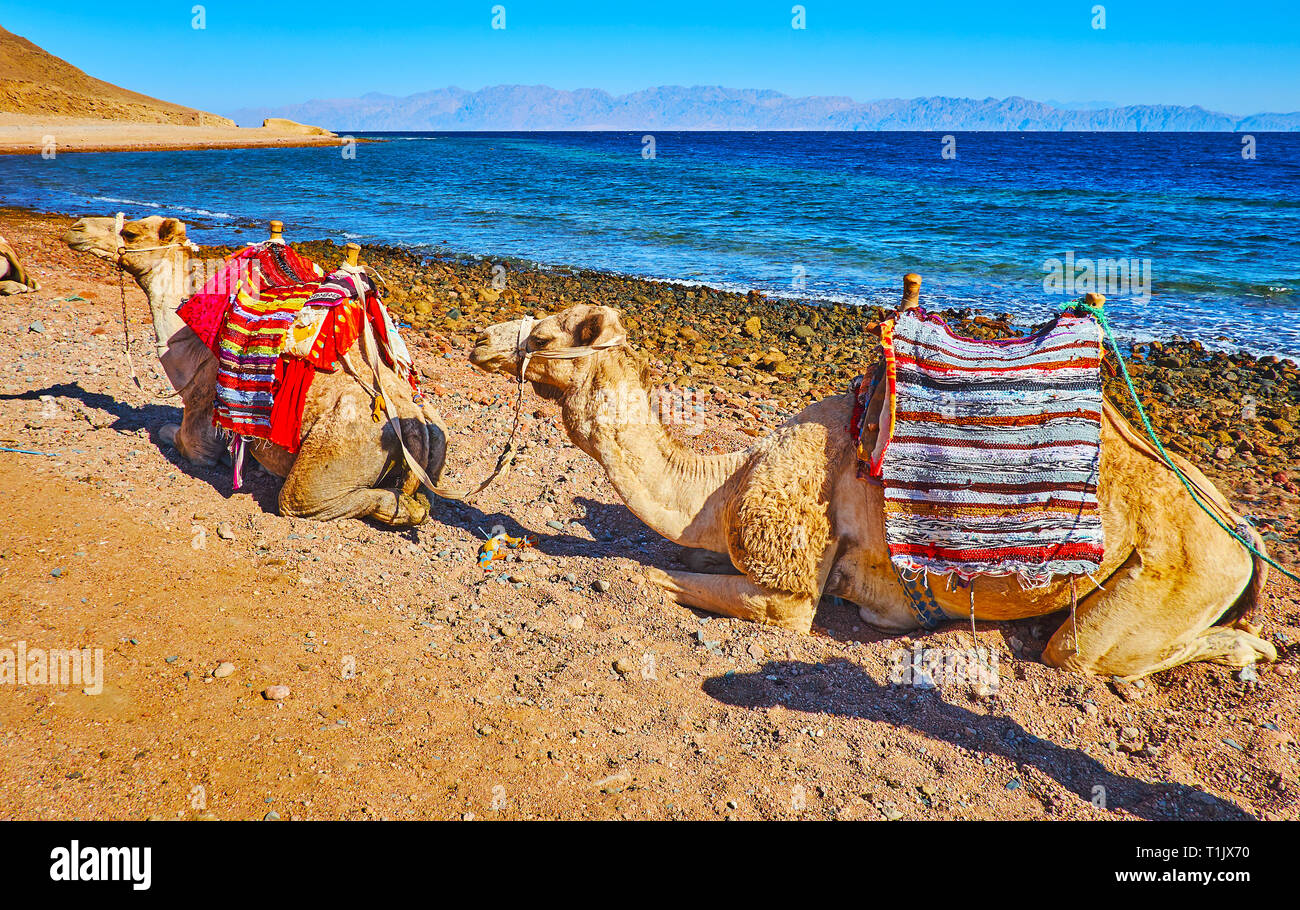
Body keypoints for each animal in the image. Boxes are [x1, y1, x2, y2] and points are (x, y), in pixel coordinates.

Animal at [63, 215, 448, 526]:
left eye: (130, 233)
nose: (76, 228)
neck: (191, 345)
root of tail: (415, 422)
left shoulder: (201, 417)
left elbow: (175, 435)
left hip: (338, 451)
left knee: (302, 500)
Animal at [470, 303, 1279, 680]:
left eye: (550, 334)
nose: (481, 341)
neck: (722, 484)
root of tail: (1240, 528)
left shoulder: (791, 585)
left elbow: (650, 576)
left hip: (1178, 567)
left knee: (1085, 651)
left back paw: (1250, 648)